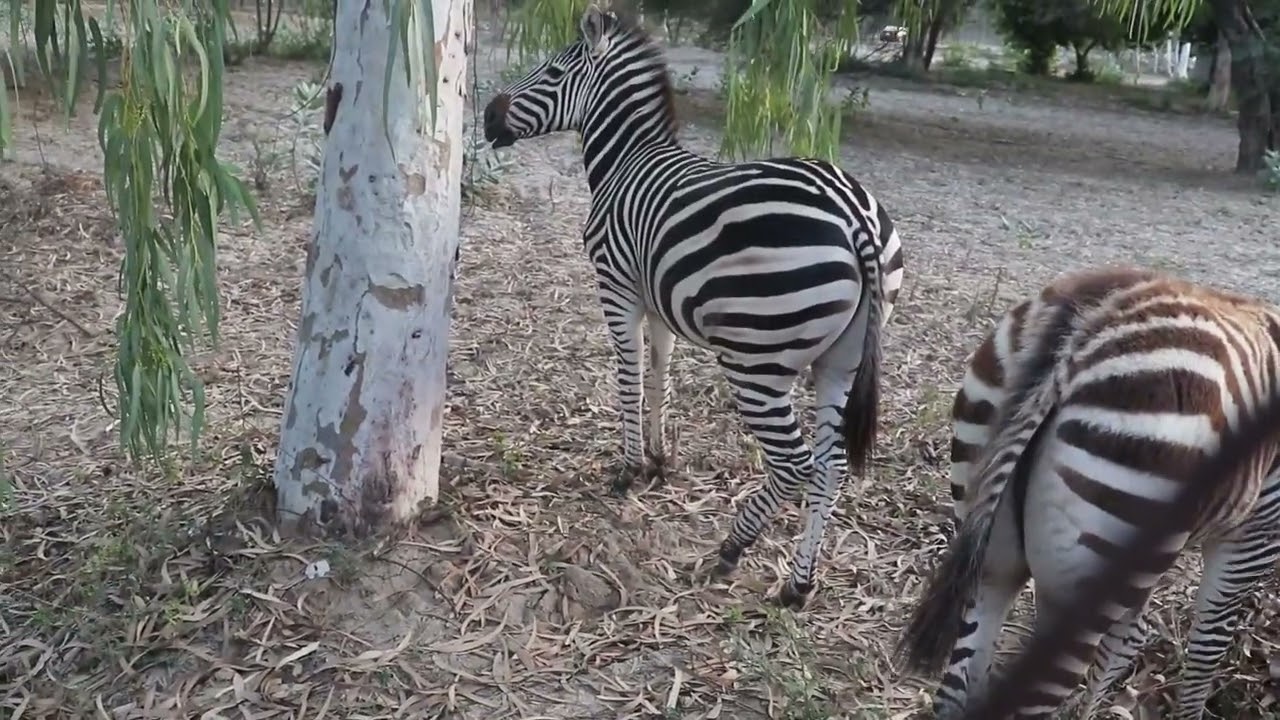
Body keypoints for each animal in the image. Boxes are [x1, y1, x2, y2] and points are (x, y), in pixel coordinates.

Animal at [482, 6, 905, 608]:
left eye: (553, 73)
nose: (488, 117)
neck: (626, 161)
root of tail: (854, 214)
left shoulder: (616, 286)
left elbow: (629, 377)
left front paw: (629, 469)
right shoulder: (660, 302)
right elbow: (660, 375)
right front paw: (659, 461)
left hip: (757, 360)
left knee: (795, 464)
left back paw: (732, 548)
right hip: (841, 361)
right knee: (831, 468)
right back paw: (798, 585)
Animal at [896, 265, 1280, 720]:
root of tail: (1088, 323)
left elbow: (1129, 638)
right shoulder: (1253, 538)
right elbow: (1206, 648)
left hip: (989, 539)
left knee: (958, 687)